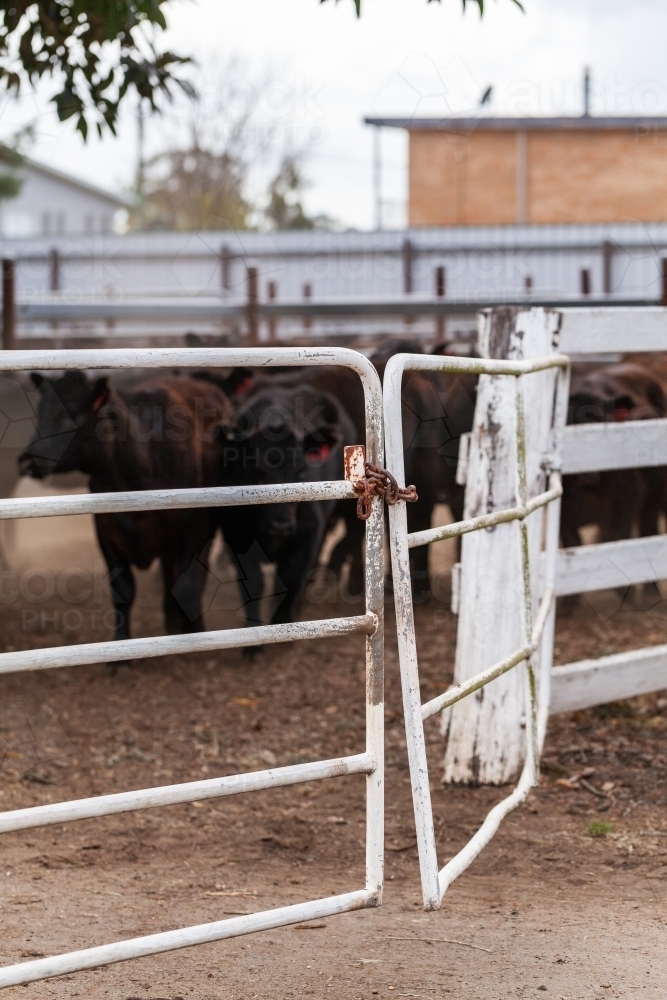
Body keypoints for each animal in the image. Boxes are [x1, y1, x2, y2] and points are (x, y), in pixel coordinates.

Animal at [18, 371, 231, 642]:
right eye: (40, 413)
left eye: (70, 416)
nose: (25, 461)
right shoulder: (106, 531)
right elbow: (123, 590)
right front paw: (120, 646)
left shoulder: (197, 527)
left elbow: (187, 587)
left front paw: (196, 632)